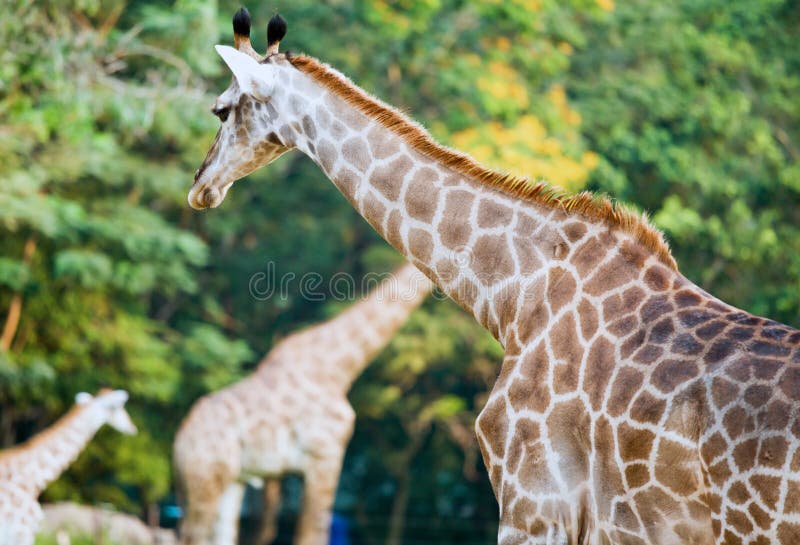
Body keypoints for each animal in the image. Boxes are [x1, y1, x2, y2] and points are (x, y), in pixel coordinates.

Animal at [173, 262, 433, 545]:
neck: (338, 369)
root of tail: (178, 443)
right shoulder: (324, 455)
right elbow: (313, 534)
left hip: (228, 480)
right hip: (205, 478)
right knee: (191, 535)